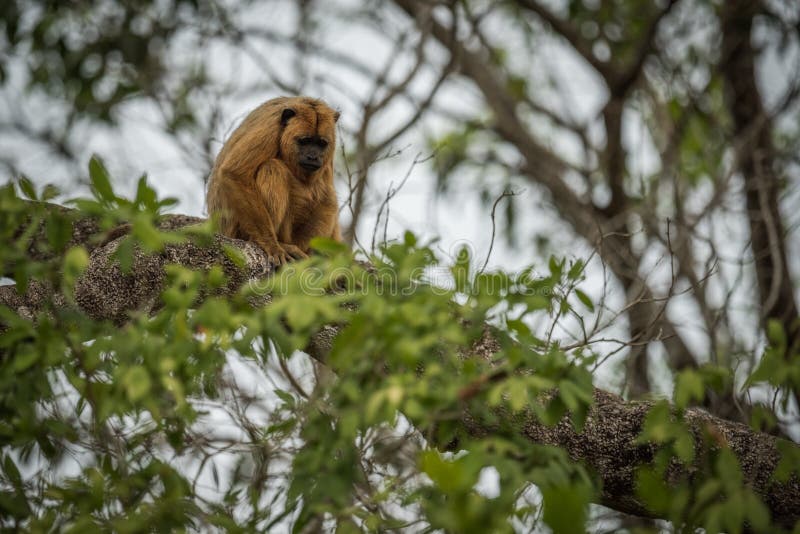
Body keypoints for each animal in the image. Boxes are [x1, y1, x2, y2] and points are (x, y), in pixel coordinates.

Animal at [206, 96, 342, 266]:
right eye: (305, 141)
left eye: (321, 143)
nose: (313, 157)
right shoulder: (270, 129)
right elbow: (234, 174)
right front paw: (271, 244)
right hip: (239, 231)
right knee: (272, 168)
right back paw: (276, 244)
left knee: (328, 195)